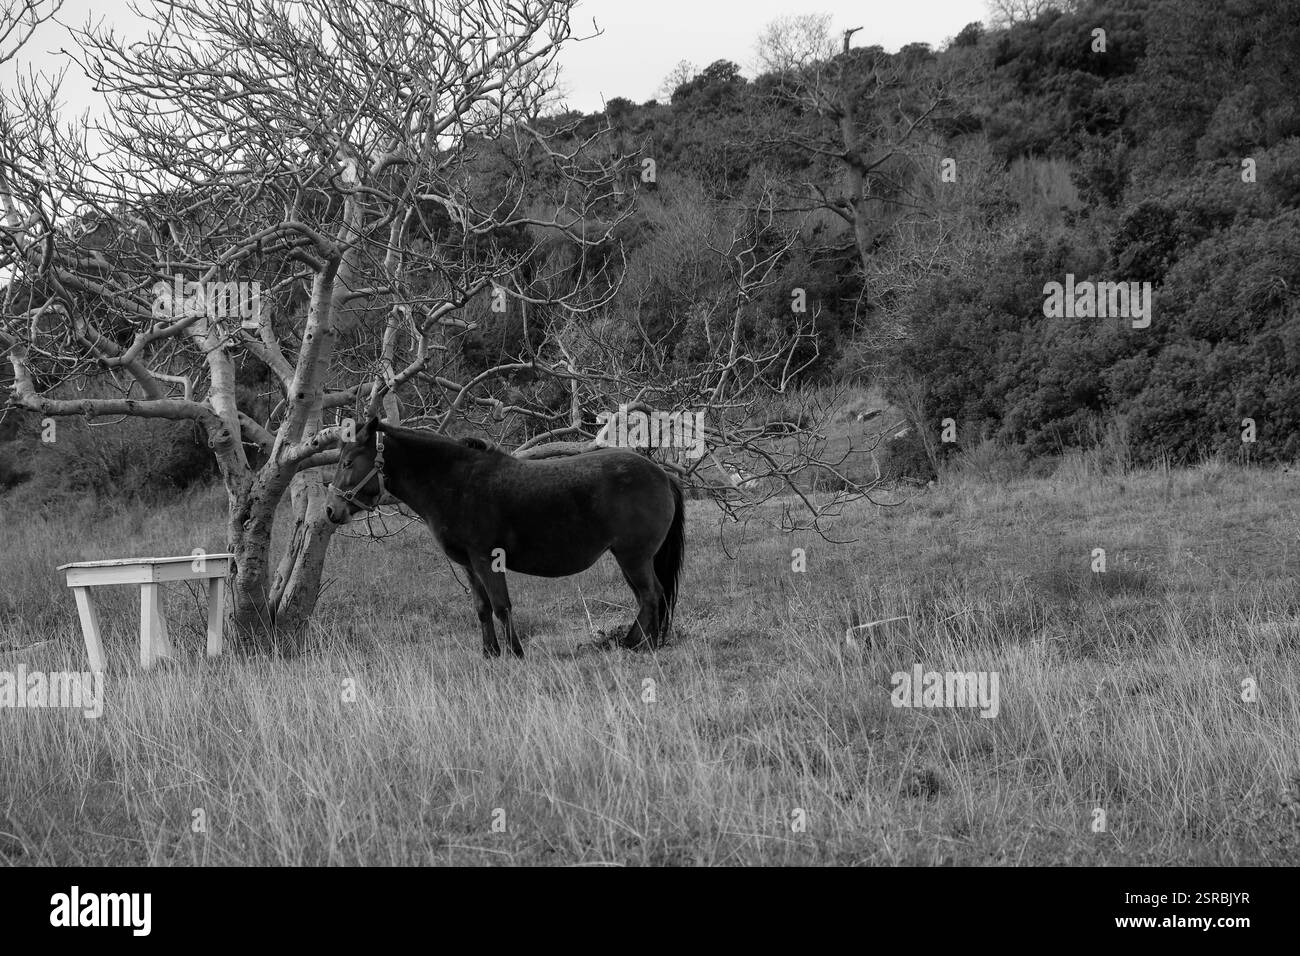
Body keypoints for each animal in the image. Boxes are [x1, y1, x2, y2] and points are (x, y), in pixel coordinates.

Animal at [324, 418, 685, 658]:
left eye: (348, 461)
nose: (330, 510)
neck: (456, 482)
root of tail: (662, 475)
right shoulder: (470, 565)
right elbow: (482, 607)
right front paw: (490, 653)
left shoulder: (487, 559)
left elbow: (501, 606)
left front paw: (515, 652)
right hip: (631, 560)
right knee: (649, 597)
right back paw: (641, 642)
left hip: (634, 558)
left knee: (651, 595)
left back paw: (639, 645)